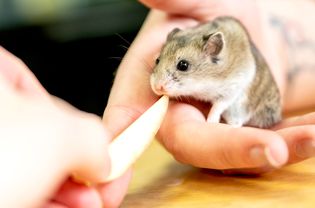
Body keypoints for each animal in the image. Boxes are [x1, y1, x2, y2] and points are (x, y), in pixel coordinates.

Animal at [150, 16, 282, 127]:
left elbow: (218, 106)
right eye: (157, 60)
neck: (205, 80)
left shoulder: (232, 87)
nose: (157, 88)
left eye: (183, 65)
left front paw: (210, 122)